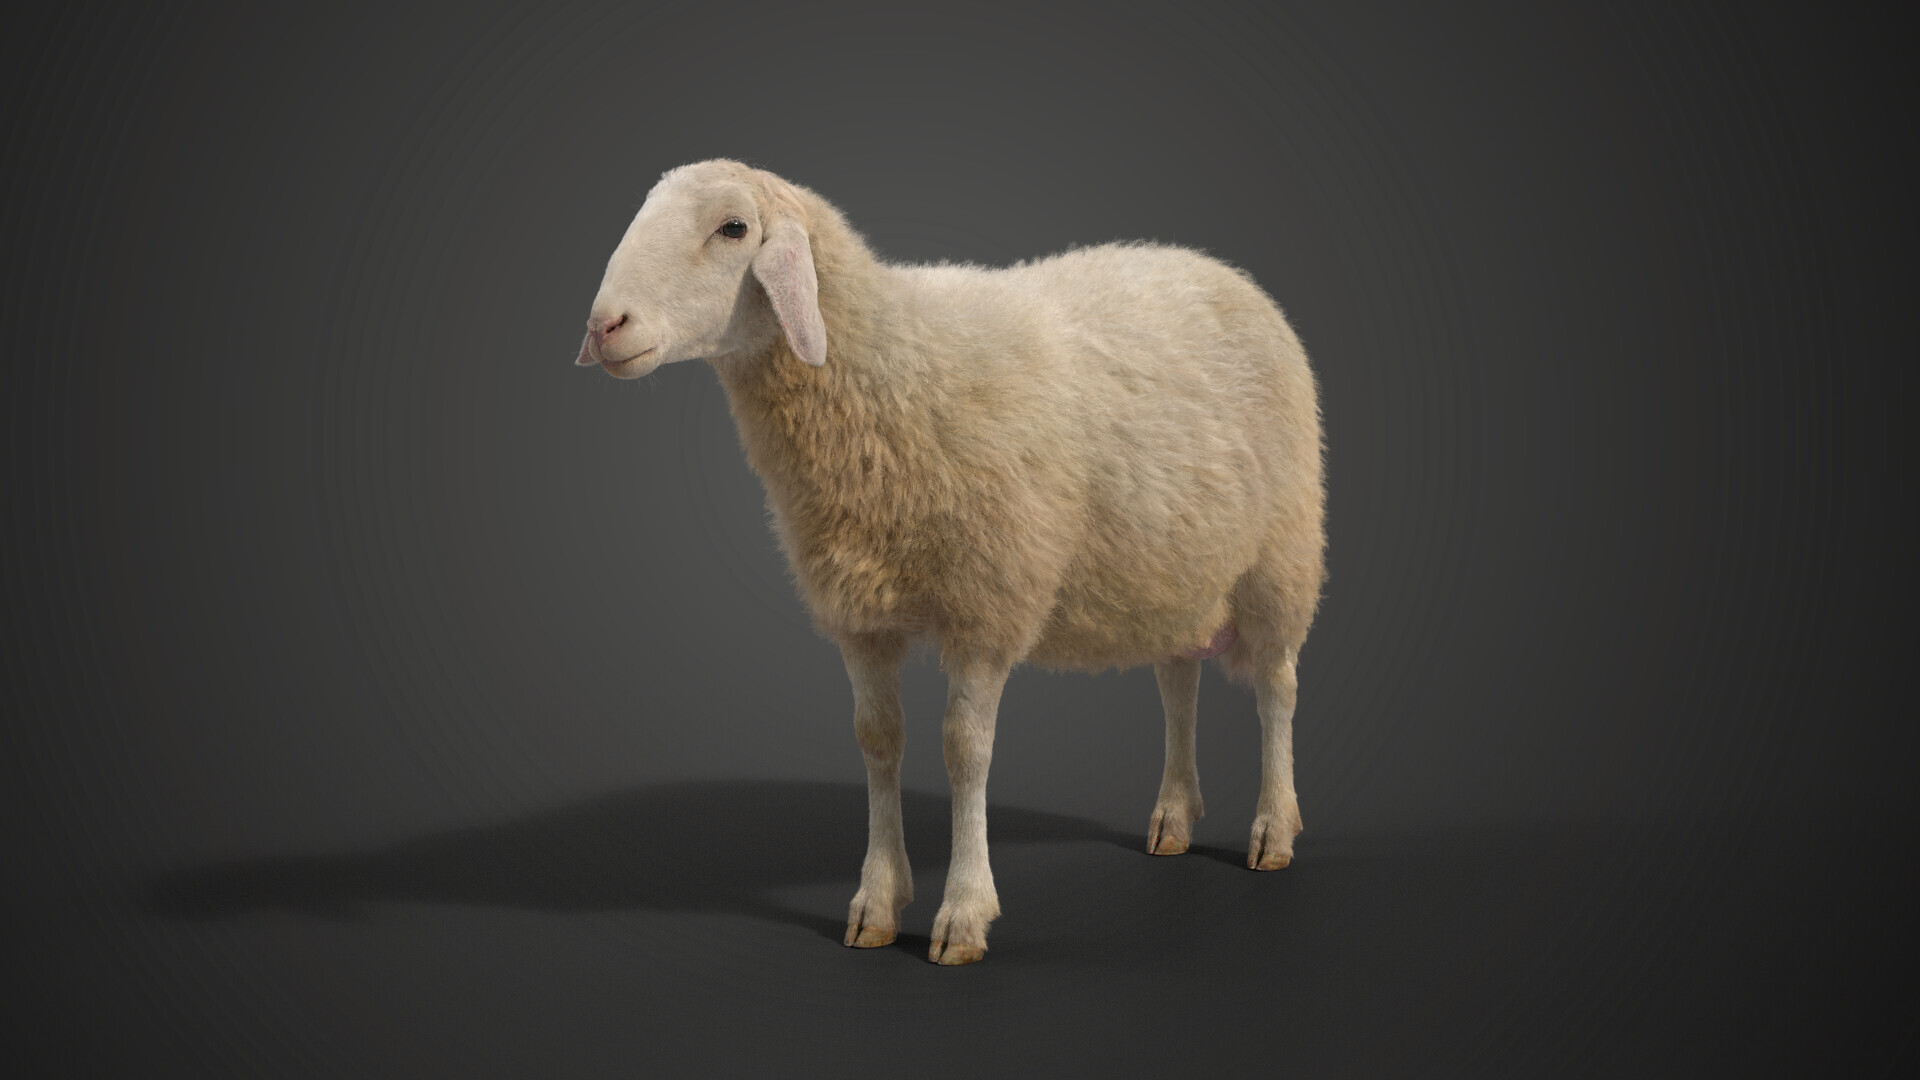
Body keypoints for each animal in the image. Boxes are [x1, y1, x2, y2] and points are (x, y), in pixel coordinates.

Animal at [573, 160, 1325, 965]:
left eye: (733, 228)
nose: (604, 326)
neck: (887, 363)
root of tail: (1219, 268)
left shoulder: (984, 607)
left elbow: (965, 751)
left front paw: (963, 913)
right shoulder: (861, 617)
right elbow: (878, 742)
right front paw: (876, 903)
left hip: (1280, 558)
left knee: (1278, 687)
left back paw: (1273, 830)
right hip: (1175, 569)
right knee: (1178, 681)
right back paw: (1174, 819)